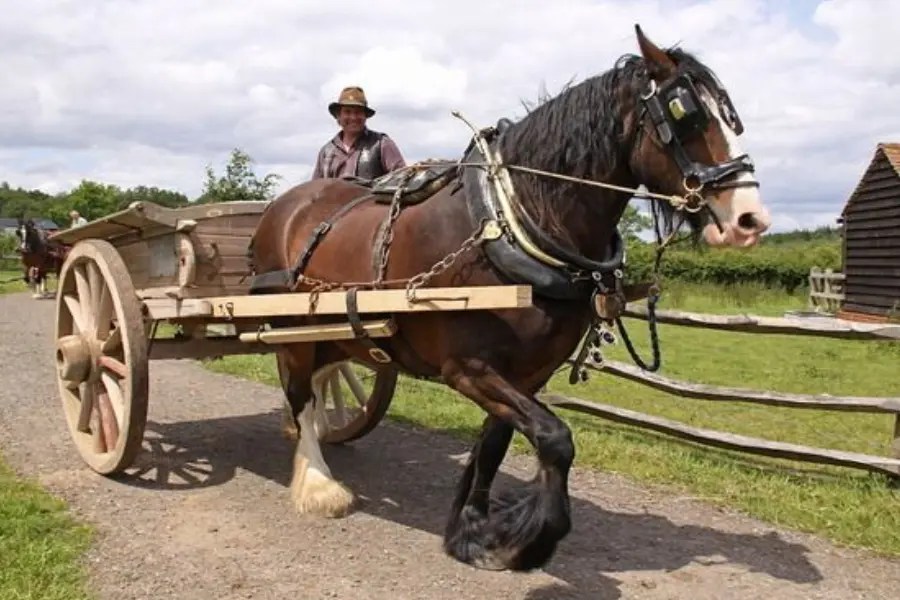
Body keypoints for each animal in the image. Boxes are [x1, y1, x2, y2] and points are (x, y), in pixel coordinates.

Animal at [248, 25, 771, 572]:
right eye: (684, 111)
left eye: (730, 115)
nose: (749, 220)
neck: (512, 224)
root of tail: (286, 204)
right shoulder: (468, 367)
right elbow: (556, 440)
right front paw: (531, 540)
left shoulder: (527, 374)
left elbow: (496, 445)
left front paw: (473, 529)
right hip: (288, 329)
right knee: (301, 394)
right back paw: (317, 483)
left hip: (330, 334)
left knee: (318, 384)